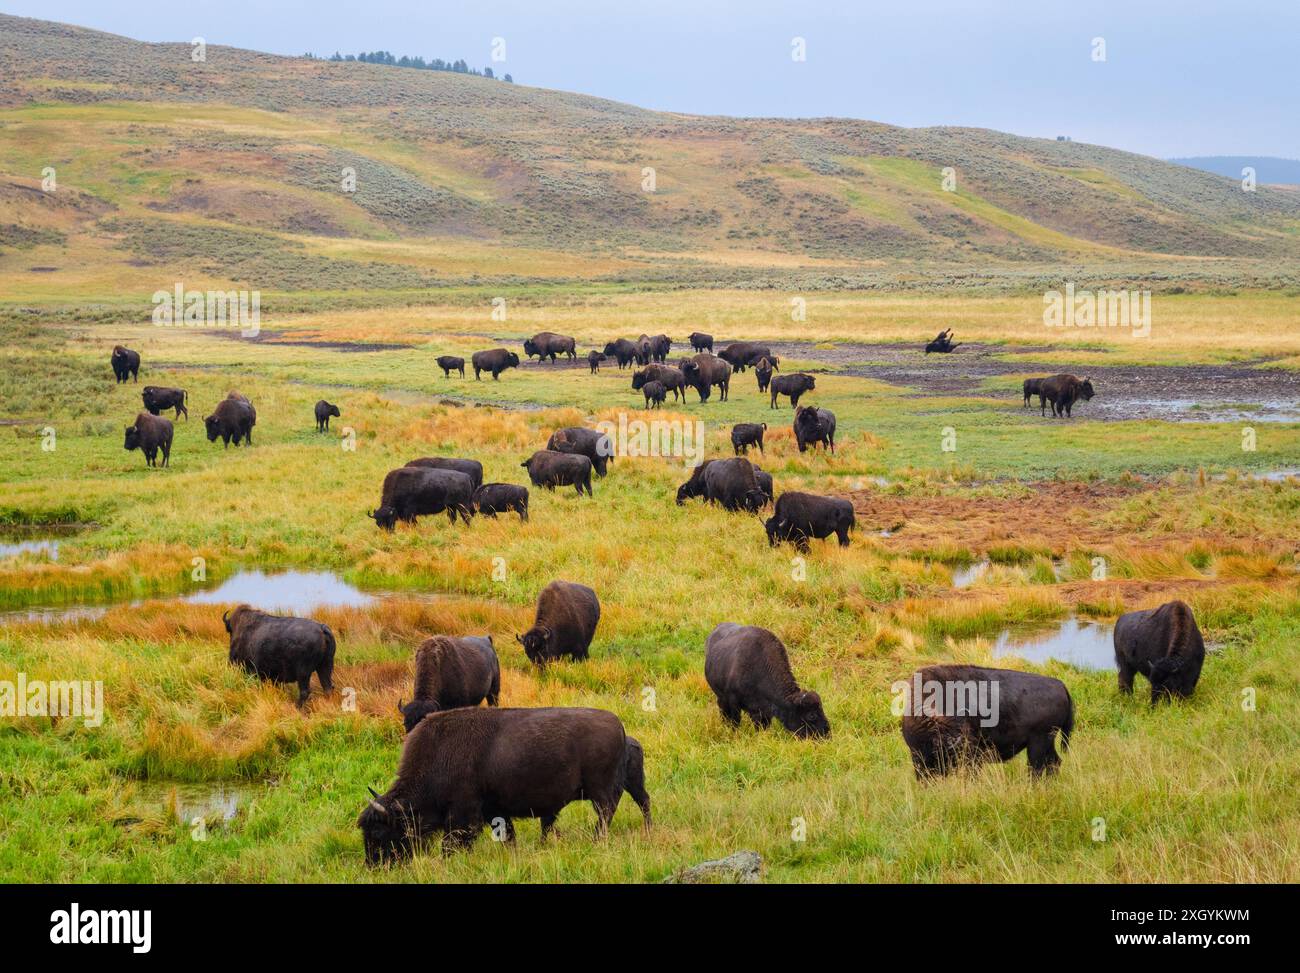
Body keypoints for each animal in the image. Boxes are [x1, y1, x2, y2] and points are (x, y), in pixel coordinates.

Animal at [358, 706, 648, 861]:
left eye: (379, 833)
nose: (375, 865)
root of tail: (618, 724)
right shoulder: (493, 810)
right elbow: (507, 834)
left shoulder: (464, 813)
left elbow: (452, 841)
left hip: (601, 791)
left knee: (606, 813)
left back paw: (597, 839)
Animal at [900, 665, 1072, 778]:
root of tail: (1061, 686)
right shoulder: (918, 757)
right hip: (1047, 741)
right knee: (1054, 762)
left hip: (1038, 742)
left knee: (1037, 768)